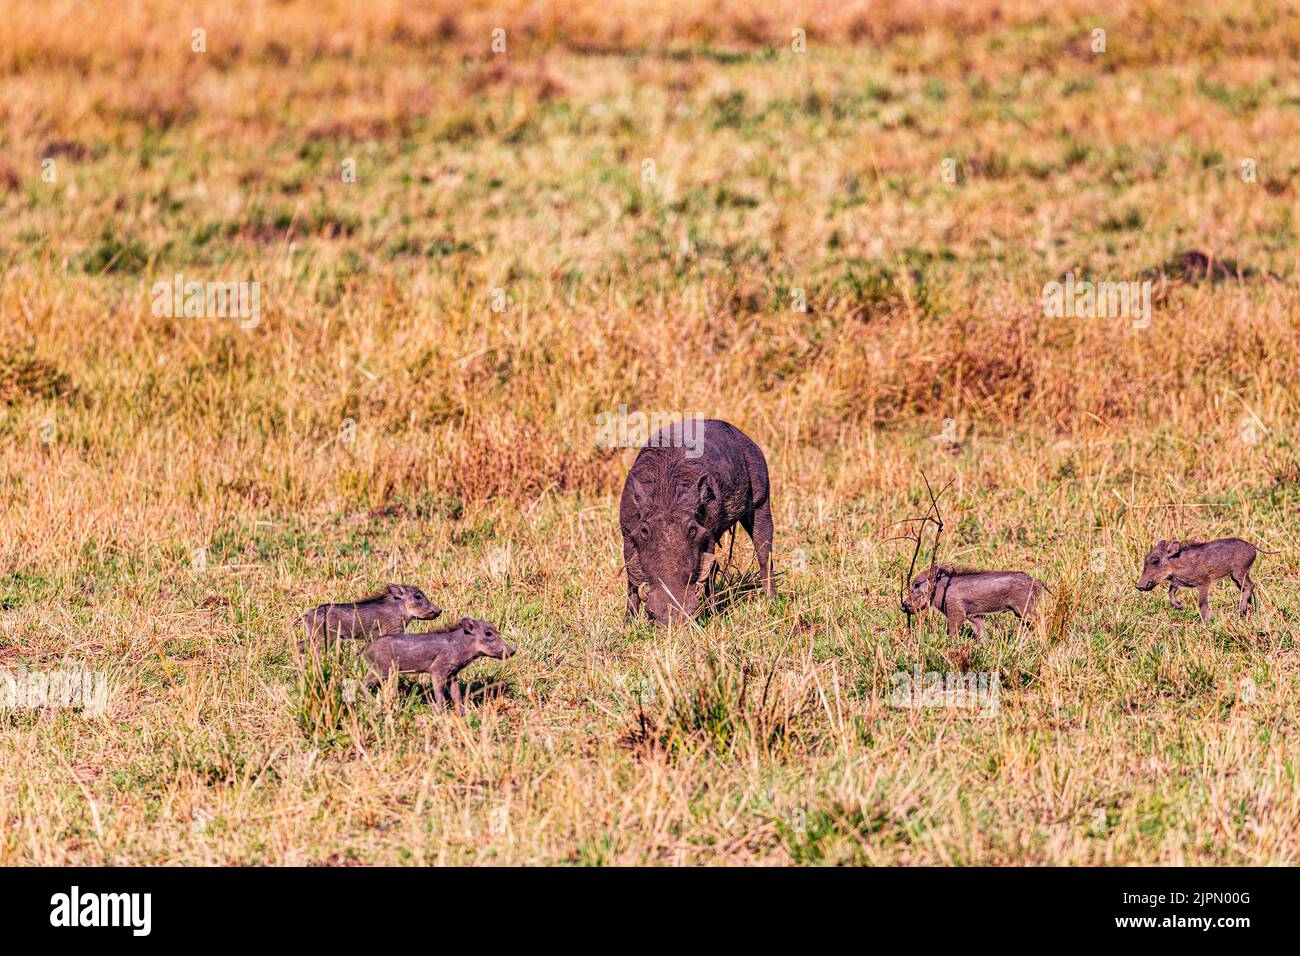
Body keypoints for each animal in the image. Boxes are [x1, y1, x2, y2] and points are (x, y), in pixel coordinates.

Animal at [294, 584, 442, 652]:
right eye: (417, 596)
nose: (439, 610)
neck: (400, 609)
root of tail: (308, 613)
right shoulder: (395, 630)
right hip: (324, 638)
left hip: (314, 637)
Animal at [361, 617, 515, 712]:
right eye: (488, 633)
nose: (512, 651)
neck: (461, 645)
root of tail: (365, 649)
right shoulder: (437, 671)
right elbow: (439, 695)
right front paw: (440, 714)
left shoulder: (453, 674)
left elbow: (456, 695)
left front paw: (462, 714)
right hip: (380, 670)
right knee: (361, 684)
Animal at [619, 418, 774, 624]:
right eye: (644, 531)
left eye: (692, 530)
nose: (674, 616)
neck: (667, 497)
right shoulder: (628, 534)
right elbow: (633, 577)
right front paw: (628, 623)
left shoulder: (708, 534)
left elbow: (708, 573)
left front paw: (713, 617)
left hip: (761, 503)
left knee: (764, 553)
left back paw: (771, 603)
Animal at [902, 565, 1047, 639]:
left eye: (916, 585)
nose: (903, 607)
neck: (940, 588)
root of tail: (1036, 580)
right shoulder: (975, 616)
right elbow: (981, 634)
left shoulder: (956, 613)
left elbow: (951, 633)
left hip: (1026, 609)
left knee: (1040, 624)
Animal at [1135, 538, 1277, 623]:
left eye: (1156, 561)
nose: (1139, 586)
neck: (1176, 563)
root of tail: (1251, 545)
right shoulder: (1179, 581)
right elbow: (1170, 591)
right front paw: (1180, 606)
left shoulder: (1203, 582)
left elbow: (1203, 604)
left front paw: (1206, 622)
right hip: (1236, 576)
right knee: (1247, 589)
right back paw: (1249, 610)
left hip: (1239, 572)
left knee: (1250, 586)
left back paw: (1241, 611)